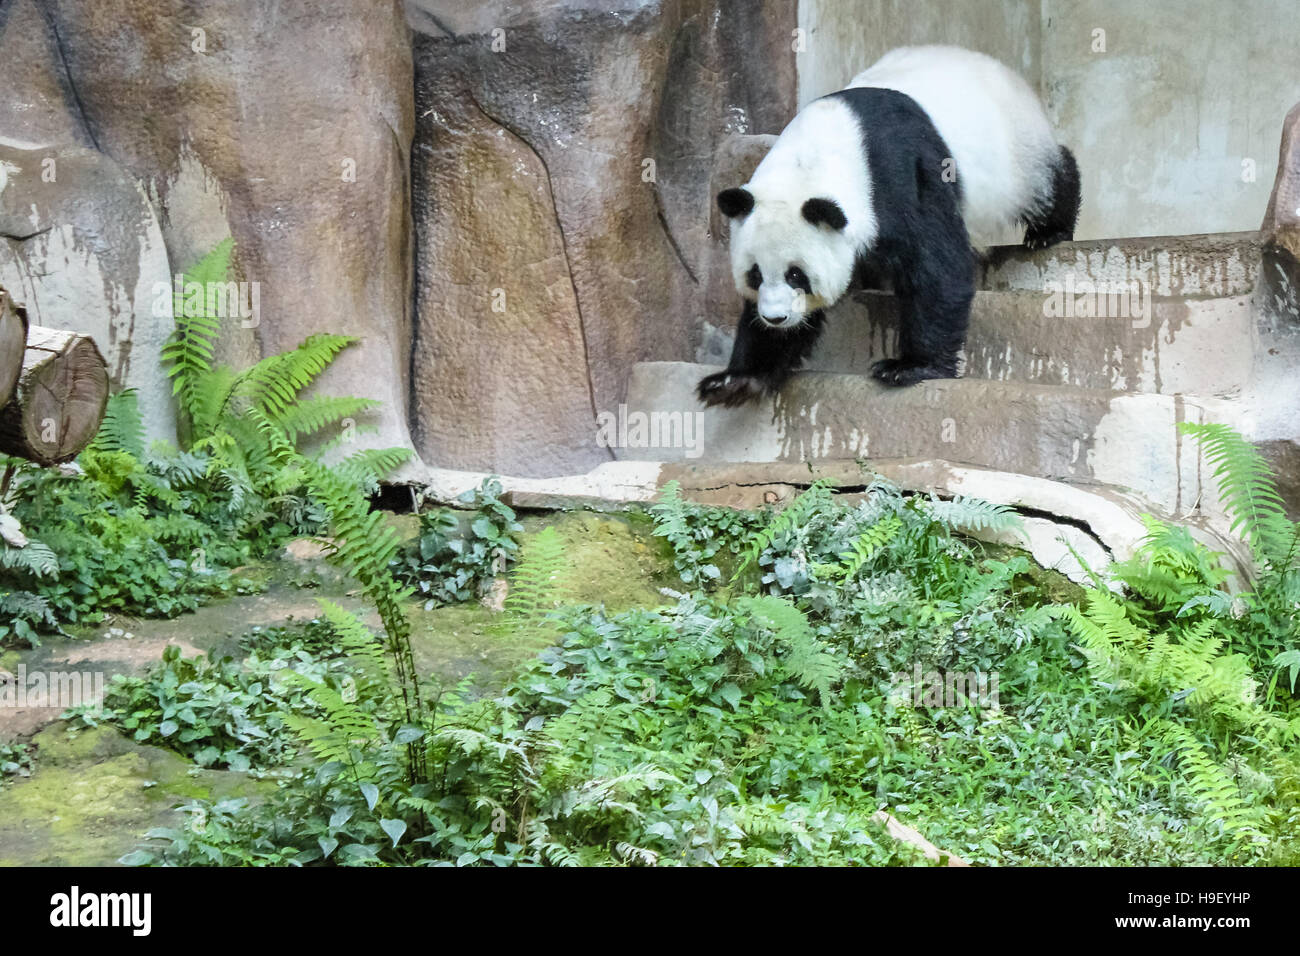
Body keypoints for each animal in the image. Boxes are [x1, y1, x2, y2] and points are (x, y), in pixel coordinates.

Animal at [699, 44, 1081, 408]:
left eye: (797, 275)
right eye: (755, 275)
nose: (776, 318)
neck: (814, 159)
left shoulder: (902, 176)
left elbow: (937, 266)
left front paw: (909, 367)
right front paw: (737, 379)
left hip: (1016, 151)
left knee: (1045, 181)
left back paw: (1050, 231)